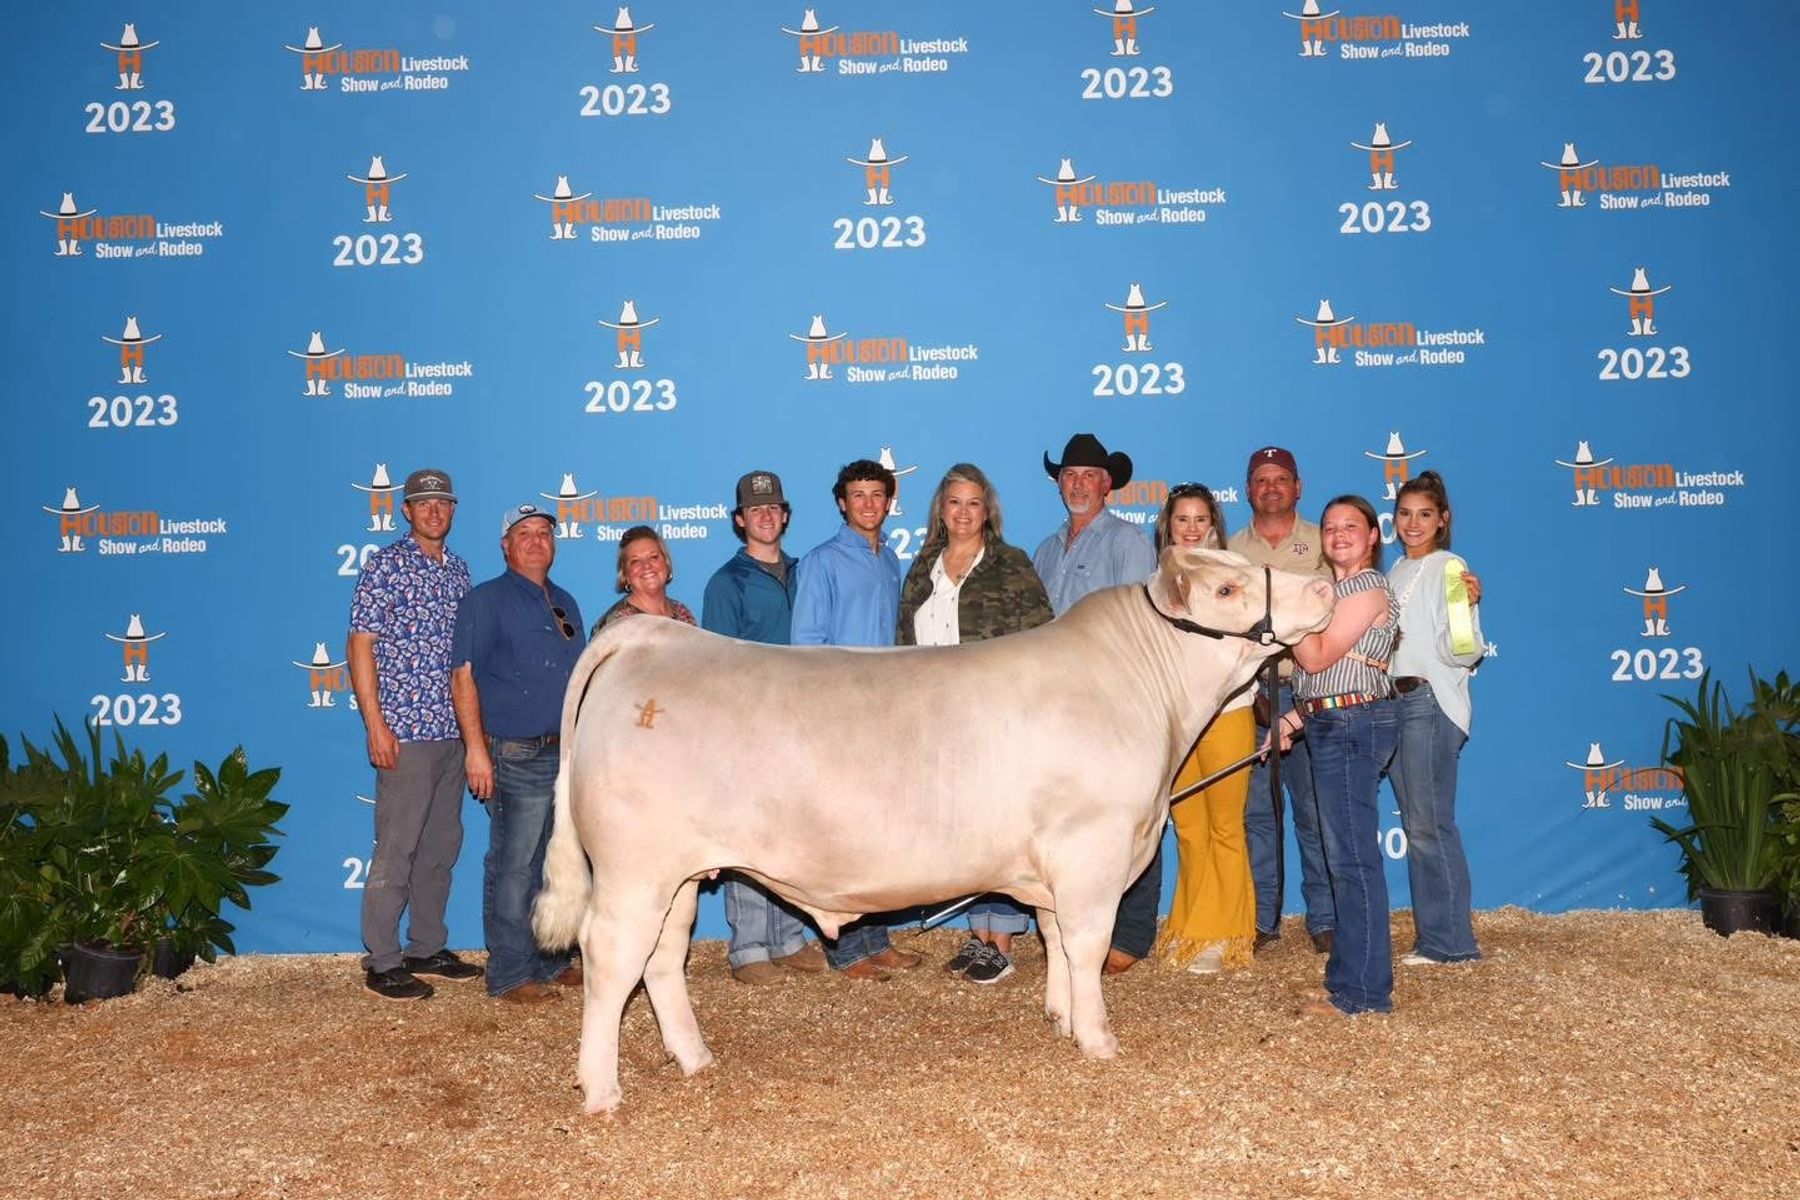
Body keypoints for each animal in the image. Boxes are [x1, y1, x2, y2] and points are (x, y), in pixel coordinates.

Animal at [533, 547, 1334, 1113]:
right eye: (1225, 589)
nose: (1327, 588)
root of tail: (652, 640)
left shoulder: (1054, 859)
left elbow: (1051, 937)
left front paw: (1061, 1017)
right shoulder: (1094, 848)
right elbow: (1084, 944)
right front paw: (1099, 1039)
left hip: (674, 874)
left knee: (661, 960)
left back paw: (694, 1058)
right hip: (635, 868)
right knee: (611, 956)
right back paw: (601, 1090)